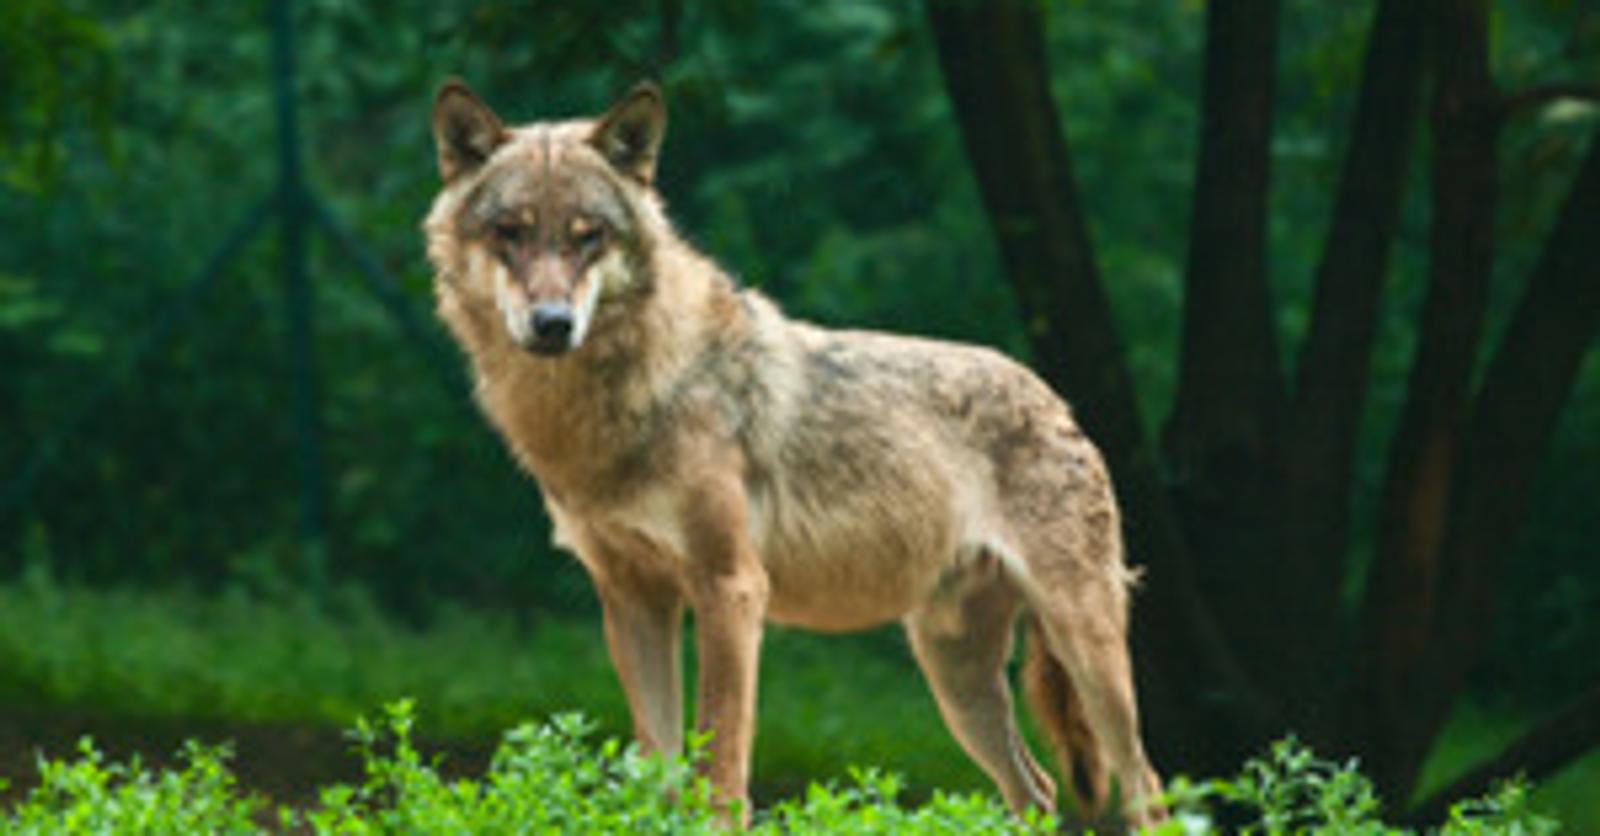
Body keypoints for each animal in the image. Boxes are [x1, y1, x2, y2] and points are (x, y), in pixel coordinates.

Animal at [424, 80, 1166, 827]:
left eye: (588, 236)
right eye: (511, 232)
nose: (552, 324)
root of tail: (1057, 402)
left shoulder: (730, 589)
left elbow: (720, 765)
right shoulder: (632, 601)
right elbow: (659, 772)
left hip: (1085, 647)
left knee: (1147, 785)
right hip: (955, 673)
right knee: (1036, 790)